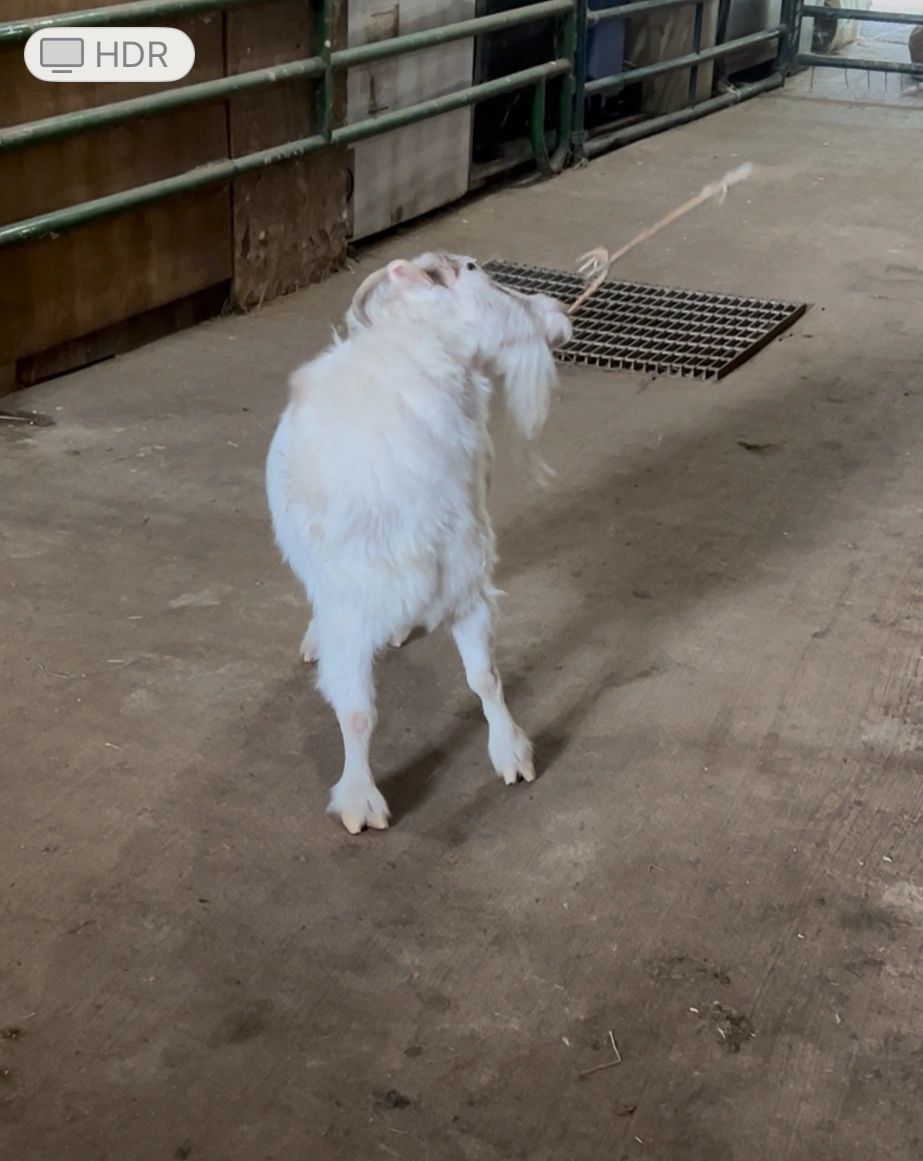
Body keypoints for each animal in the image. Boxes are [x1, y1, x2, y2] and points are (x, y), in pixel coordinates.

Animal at [265, 252, 572, 833]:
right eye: (473, 269)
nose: (559, 313)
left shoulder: (467, 583)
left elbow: (485, 678)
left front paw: (512, 753)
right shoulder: (353, 609)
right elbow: (356, 712)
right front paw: (360, 802)